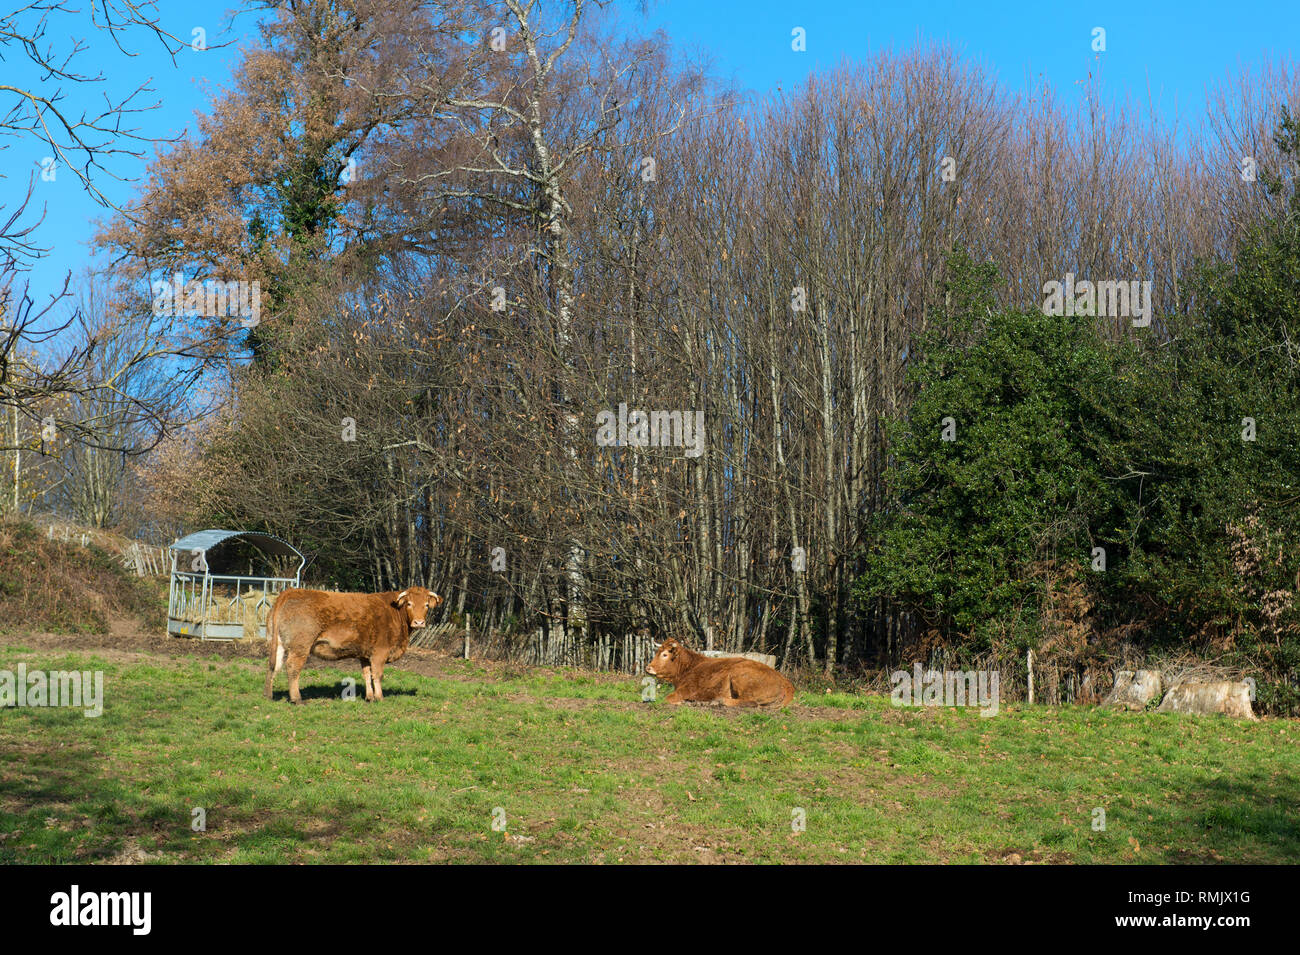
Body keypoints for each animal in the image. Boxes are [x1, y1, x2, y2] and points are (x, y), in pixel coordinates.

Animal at [264, 587, 442, 704]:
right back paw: (297, 699)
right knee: (292, 667)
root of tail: (290, 591)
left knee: (273, 666)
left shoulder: (365, 654)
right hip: (300, 646)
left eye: (426, 605)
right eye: (409, 604)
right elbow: (377, 675)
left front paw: (370, 697)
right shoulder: (380, 652)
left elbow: (367, 674)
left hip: (278, 644)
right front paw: (380, 697)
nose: (419, 622)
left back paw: (269, 695)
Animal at [645, 637, 795, 707]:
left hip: (740, 676)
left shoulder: (686, 690)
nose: (648, 668)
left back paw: (718, 701)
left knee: (751, 702)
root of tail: (783, 679)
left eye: (665, 654)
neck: (689, 667)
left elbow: (667, 698)